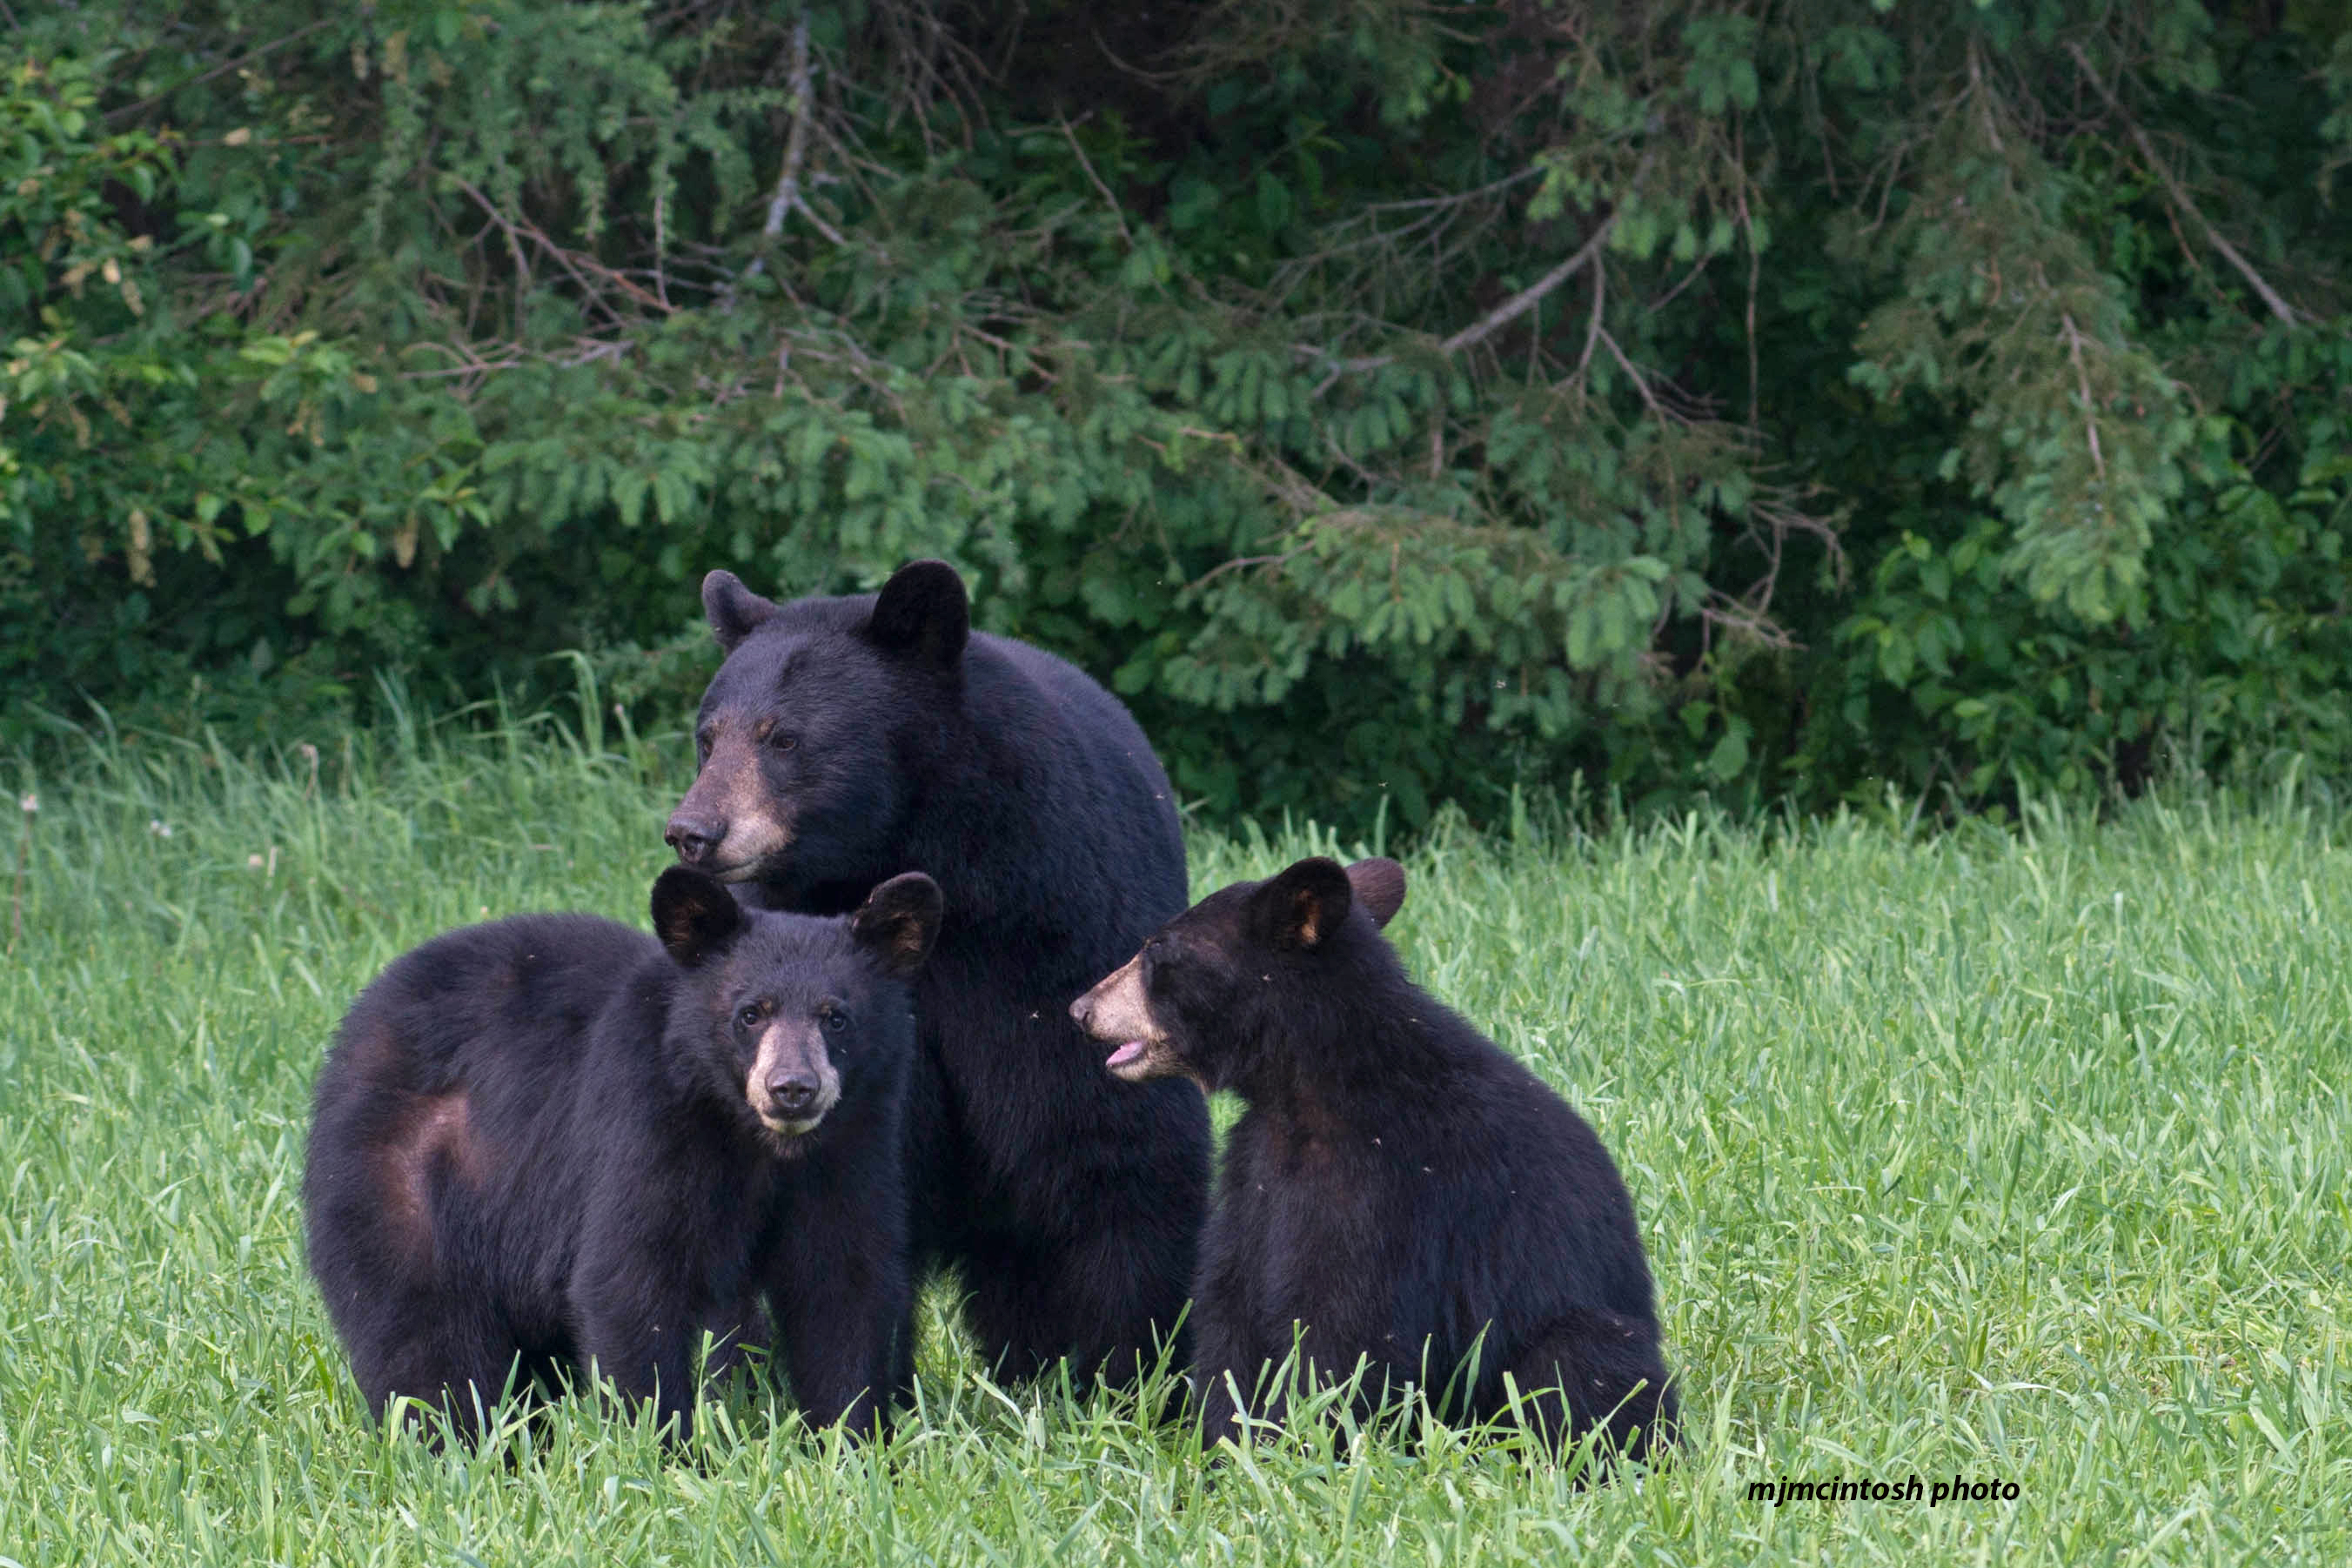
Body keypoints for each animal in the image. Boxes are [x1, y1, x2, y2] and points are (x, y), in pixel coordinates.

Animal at [302, 865, 942, 1445]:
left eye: (836, 1017)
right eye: (749, 1013)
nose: (792, 1088)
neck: (757, 1142)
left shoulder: (851, 1149)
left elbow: (843, 1288)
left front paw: (853, 1444)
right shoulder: (645, 1126)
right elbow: (629, 1279)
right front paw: (667, 1453)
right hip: (407, 1174)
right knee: (421, 1332)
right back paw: (460, 1444)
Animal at [662, 560, 1210, 1394]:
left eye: (784, 737)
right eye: (707, 738)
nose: (693, 832)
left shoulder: (1059, 936)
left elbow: (1112, 1142)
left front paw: (1128, 1374)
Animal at [1069, 855, 1678, 1462]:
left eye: (1156, 950)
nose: (1081, 1009)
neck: (1312, 1086)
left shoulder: (1385, 1186)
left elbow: (1343, 1323)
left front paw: (1301, 1449)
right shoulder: (1254, 1173)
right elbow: (1231, 1300)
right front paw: (1226, 1447)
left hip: (1575, 1332)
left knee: (1577, 1369)